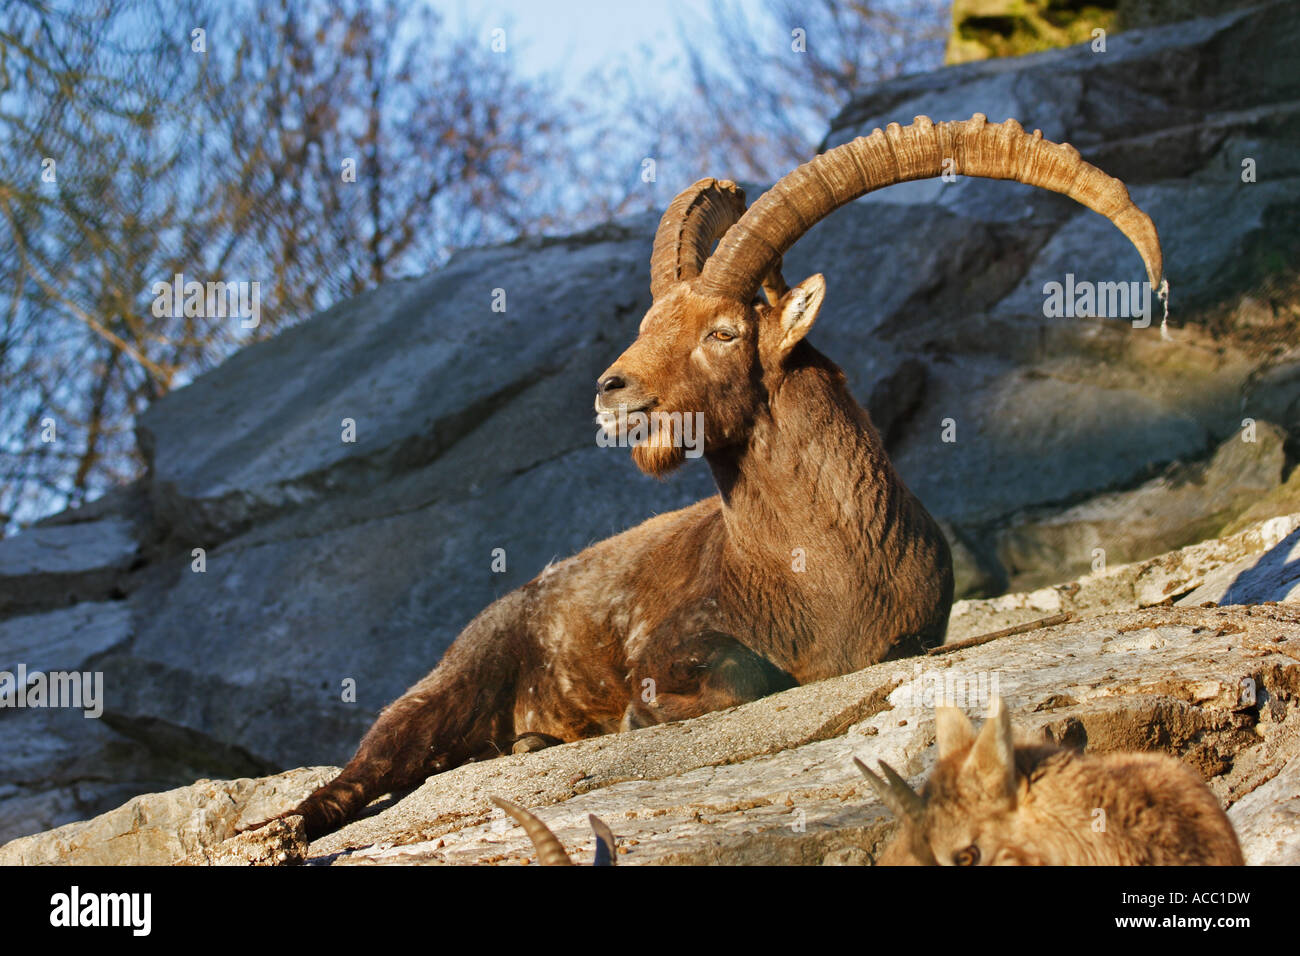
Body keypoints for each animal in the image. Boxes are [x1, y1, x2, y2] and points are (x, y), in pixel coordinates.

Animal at [269, 114, 1164, 840]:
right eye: (649, 323)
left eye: (725, 331)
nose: (613, 390)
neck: (813, 571)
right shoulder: (674, 638)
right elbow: (731, 676)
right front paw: (638, 717)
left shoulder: (910, 636)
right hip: (445, 690)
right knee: (358, 775)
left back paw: (529, 739)